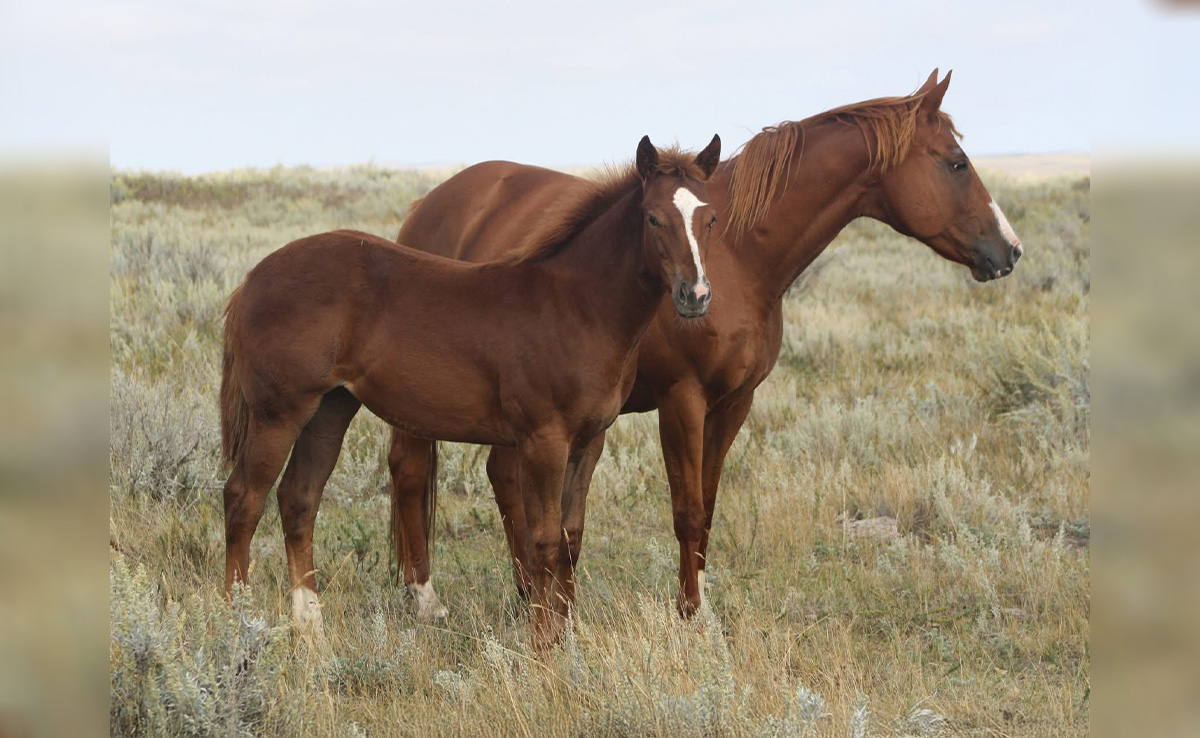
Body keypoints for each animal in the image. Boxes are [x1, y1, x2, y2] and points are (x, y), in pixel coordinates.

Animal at [219, 135, 722, 647]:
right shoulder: (543, 440)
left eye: (711, 219)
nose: (695, 296)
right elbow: (543, 541)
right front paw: (543, 643)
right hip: (278, 414)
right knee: (243, 499)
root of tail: (251, 280)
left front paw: (566, 633)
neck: (576, 307)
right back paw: (237, 622)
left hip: (329, 409)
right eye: (653, 218)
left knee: (299, 498)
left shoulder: (588, 442)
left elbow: (571, 538)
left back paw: (310, 625)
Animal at [388, 69, 1024, 619]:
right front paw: (690, 614)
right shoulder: (682, 401)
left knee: (501, 475)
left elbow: (709, 507)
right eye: (957, 163)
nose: (1010, 250)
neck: (740, 258)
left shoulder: (734, 403)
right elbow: (687, 510)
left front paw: (699, 605)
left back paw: (524, 593)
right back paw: (425, 599)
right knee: (410, 471)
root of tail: (431, 202)